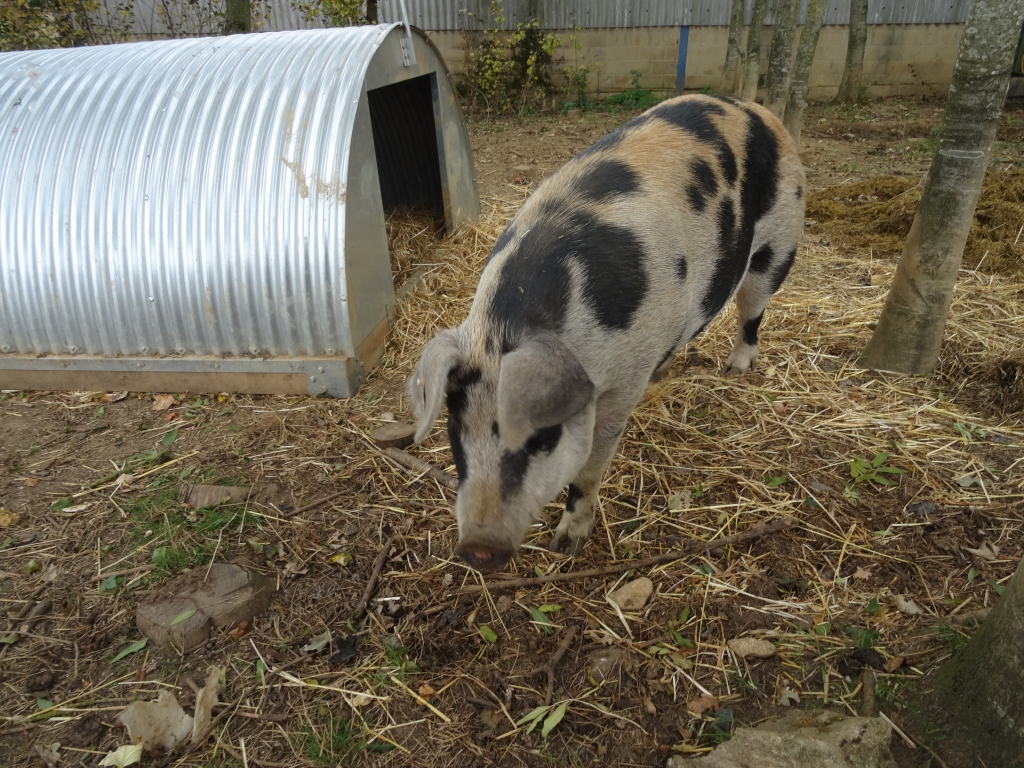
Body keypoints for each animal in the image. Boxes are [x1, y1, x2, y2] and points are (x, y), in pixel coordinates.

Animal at [408, 95, 804, 571]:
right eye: (455, 426)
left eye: (542, 435)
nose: (477, 548)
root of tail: (756, 110)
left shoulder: (620, 387)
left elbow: (588, 470)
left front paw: (565, 546)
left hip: (779, 241)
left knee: (752, 312)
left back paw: (735, 370)